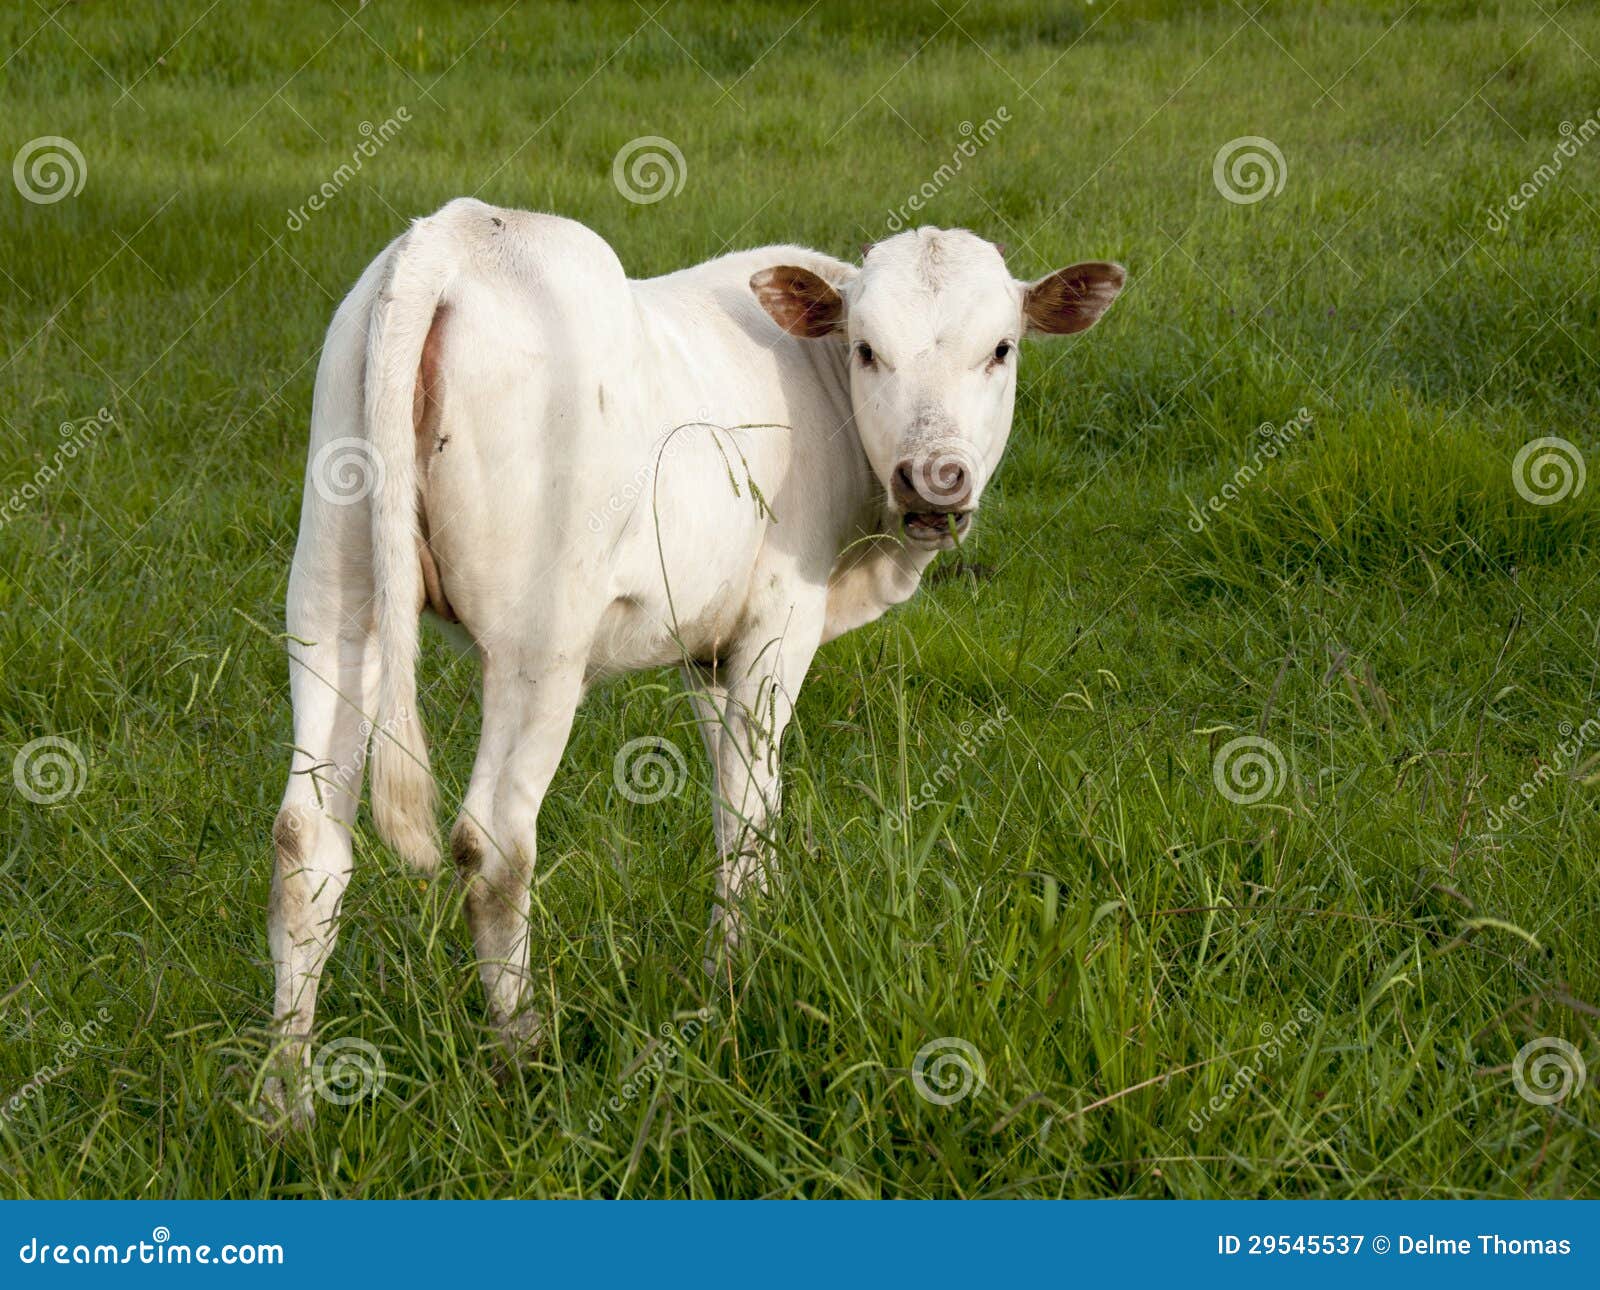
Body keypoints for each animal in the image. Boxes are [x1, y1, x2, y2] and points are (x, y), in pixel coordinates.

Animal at [266, 197, 1123, 1118]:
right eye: (867, 348)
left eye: (1001, 348)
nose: (935, 477)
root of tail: (459, 235)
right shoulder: (781, 619)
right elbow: (744, 812)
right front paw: (731, 989)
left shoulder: (709, 649)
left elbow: (744, 798)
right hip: (540, 641)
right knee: (491, 845)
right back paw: (526, 1057)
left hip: (333, 597)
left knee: (306, 841)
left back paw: (286, 1105)